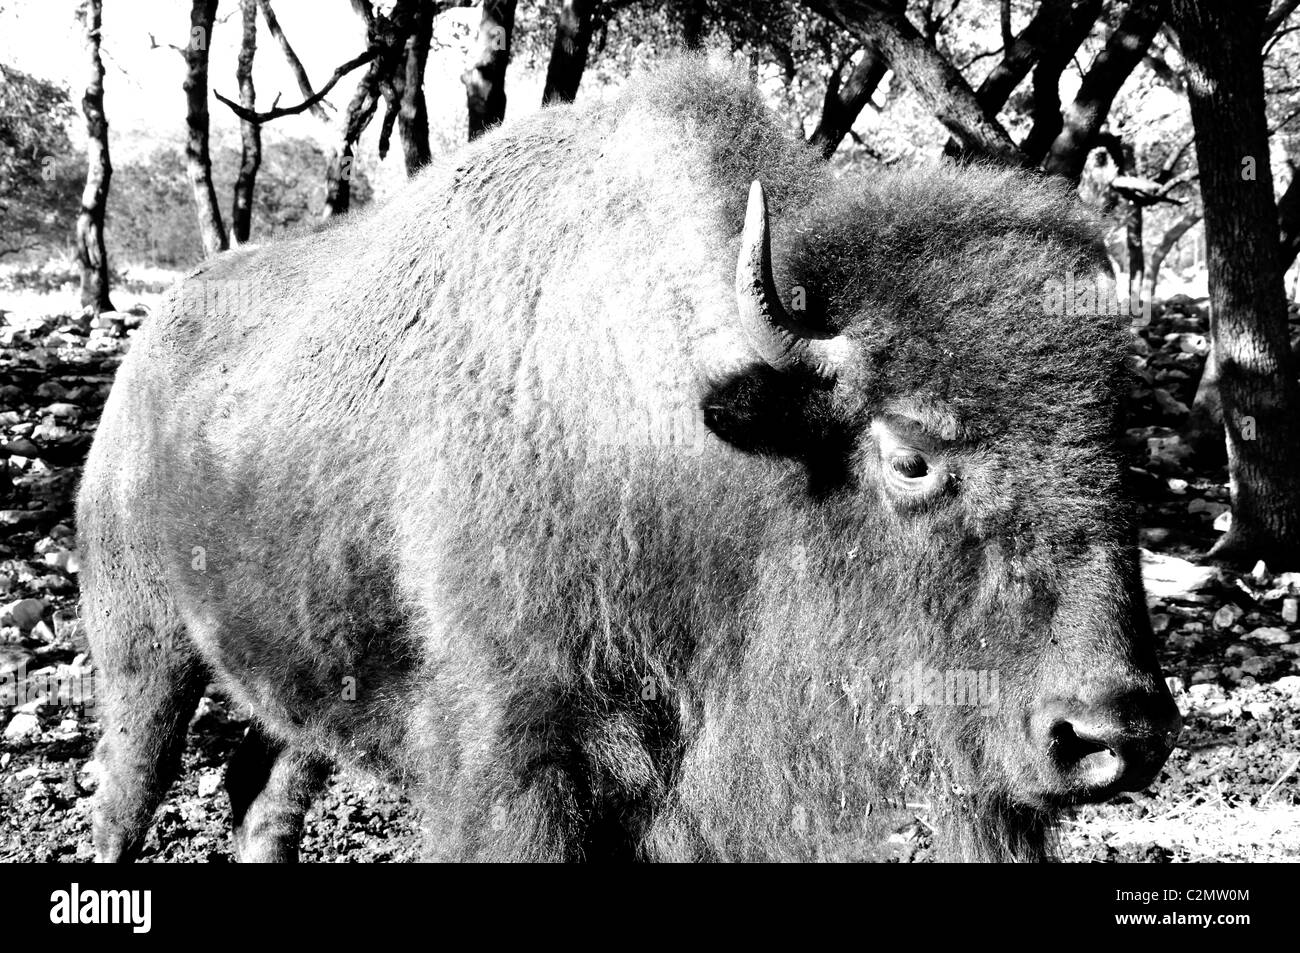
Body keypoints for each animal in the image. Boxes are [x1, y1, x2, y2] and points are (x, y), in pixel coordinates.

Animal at [78, 61, 1180, 862]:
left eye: (1117, 439)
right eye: (909, 455)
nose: (1111, 735)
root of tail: (143, 357)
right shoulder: (522, 761)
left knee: (262, 797)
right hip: (143, 655)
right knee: (125, 798)